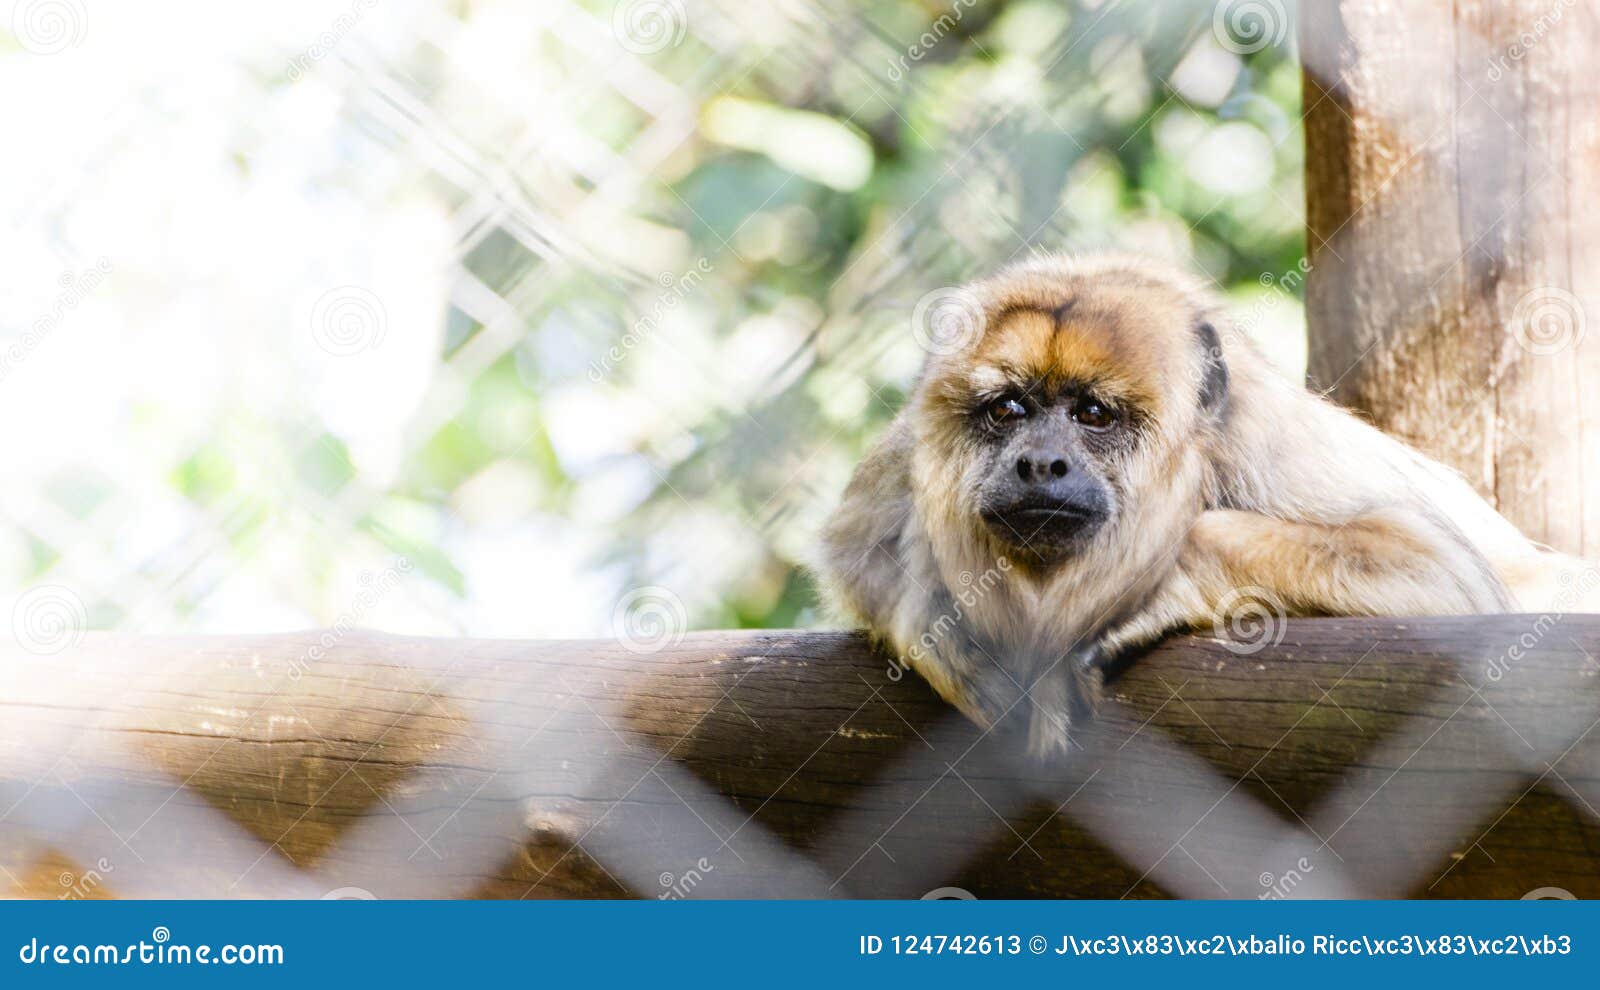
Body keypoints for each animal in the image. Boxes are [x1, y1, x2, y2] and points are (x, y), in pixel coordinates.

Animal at [818, 252, 1598, 758]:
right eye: (1008, 409)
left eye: (1094, 414)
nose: (1040, 463)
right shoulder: (906, 455)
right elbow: (851, 548)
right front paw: (940, 609)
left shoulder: (1263, 438)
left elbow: (1445, 575)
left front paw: (1150, 591)